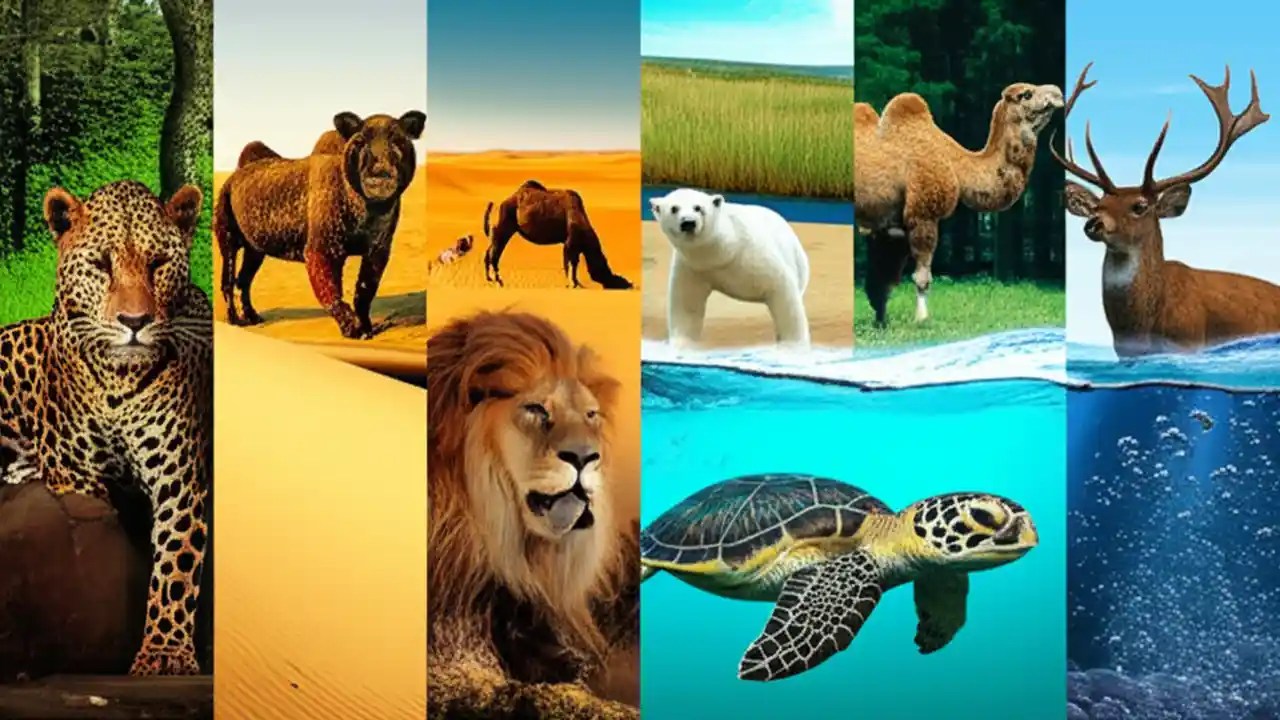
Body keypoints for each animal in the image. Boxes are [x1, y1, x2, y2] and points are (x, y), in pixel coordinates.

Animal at [483, 180, 634, 290]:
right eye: (608, 273)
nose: (628, 285)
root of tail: (494, 204)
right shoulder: (571, 242)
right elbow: (571, 264)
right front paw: (574, 285)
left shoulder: (573, 245)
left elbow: (571, 264)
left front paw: (573, 284)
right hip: (502, 225)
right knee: (494, 254)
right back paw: (498, 281)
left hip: (497, 231)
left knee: (489, 252)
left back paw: (490, 279)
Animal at [650, 187, 811, 351]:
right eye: (674, 208)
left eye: (698, 207)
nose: (688, 222)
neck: (725, 250)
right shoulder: (693, 267)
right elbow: (688, 303)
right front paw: (682, 344)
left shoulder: (755, 255)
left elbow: (782, 290)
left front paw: (791, 345)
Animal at [855, 83, 1064, 327]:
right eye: (1027, 94)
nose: (1058, 93)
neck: (956, 165)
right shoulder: (923, 214)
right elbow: (921, 278)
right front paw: (922, 319)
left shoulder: (888, 227)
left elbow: (880, 282)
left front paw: (881, 323)